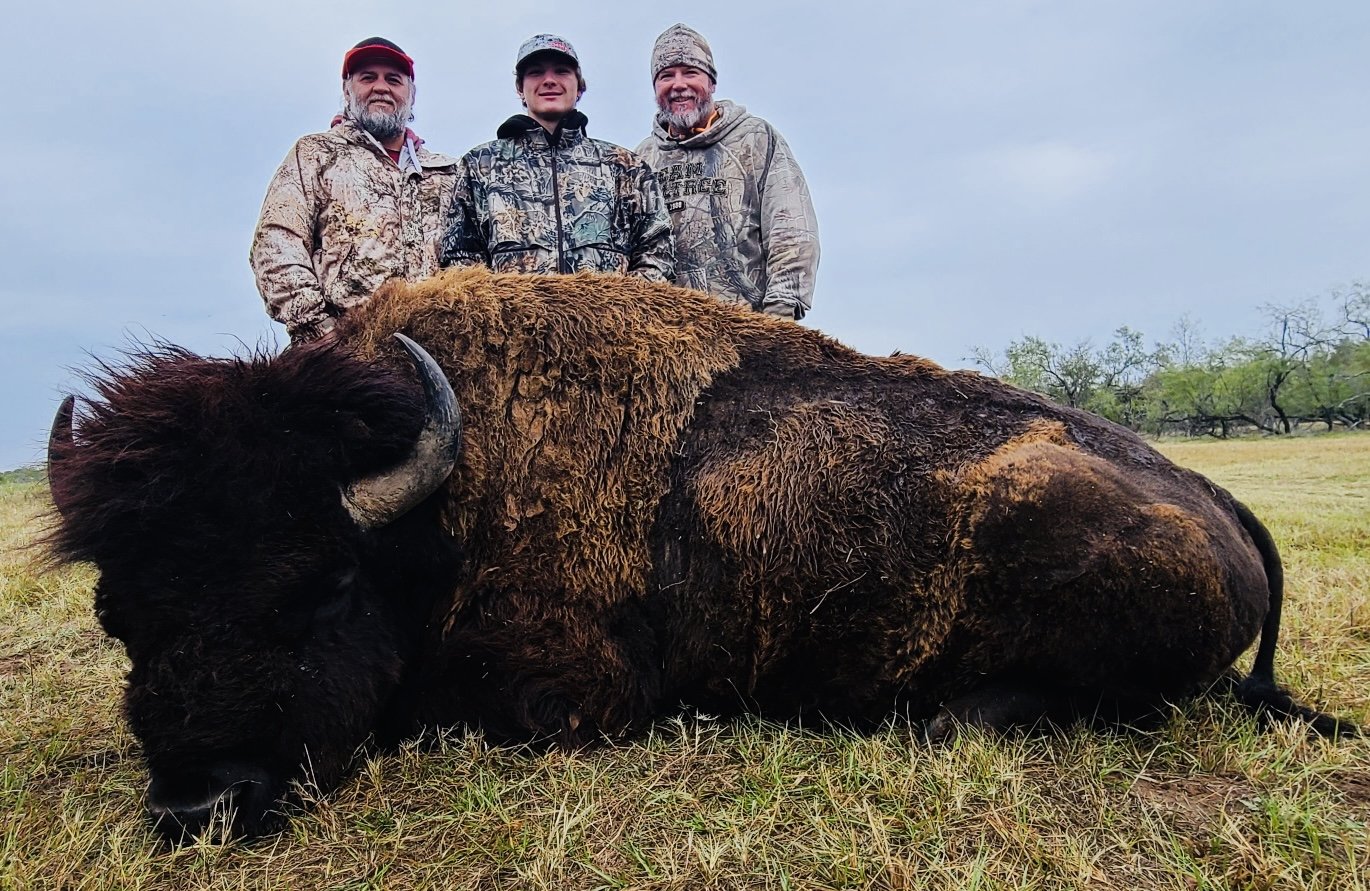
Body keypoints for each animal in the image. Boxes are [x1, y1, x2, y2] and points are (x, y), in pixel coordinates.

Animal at [46, 267, 1357, 842]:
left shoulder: (564, 696)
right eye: (120, 616)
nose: (201, 804)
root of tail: (1217, 501)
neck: (437, 506)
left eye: (318, 590)